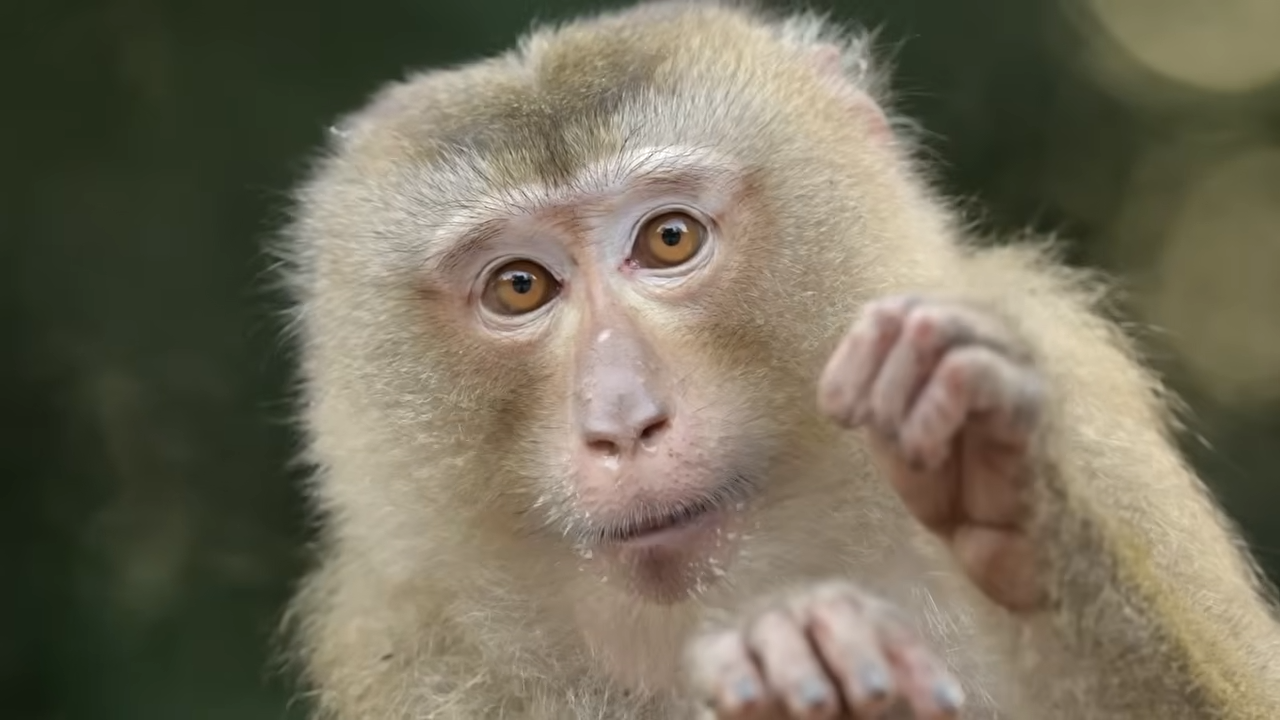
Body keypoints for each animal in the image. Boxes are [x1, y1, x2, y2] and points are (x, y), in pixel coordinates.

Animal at [277, 1, 1280, 718]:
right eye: (519, 287)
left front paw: (1013, 501)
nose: (623, 421)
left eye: (670, 238)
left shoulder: (1068, 376)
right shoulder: (404, 629)